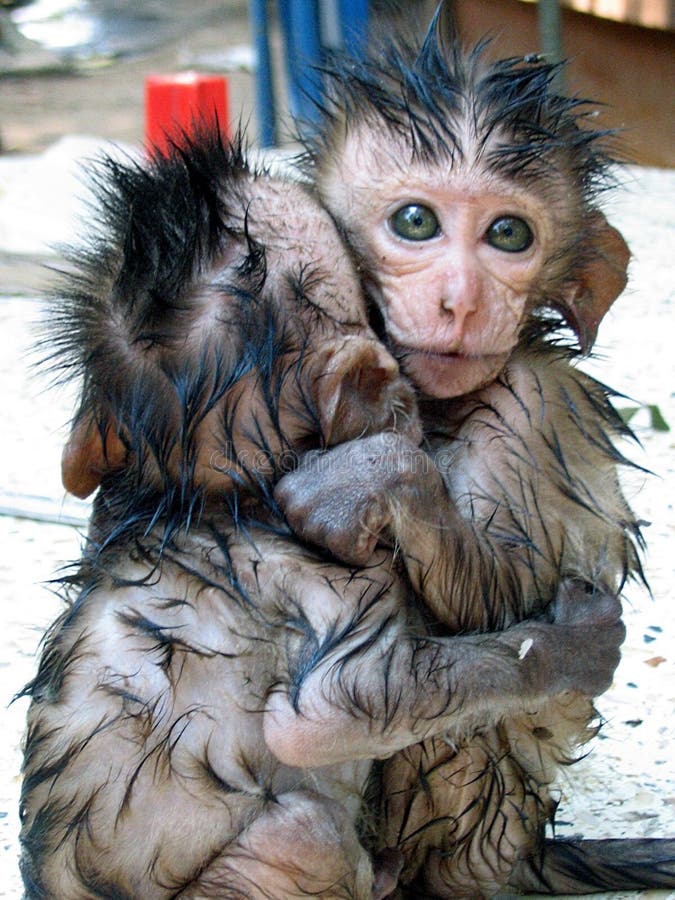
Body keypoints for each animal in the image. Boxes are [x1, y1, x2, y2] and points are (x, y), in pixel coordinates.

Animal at [18, 129, 627, 899]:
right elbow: (332, 711)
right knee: (310, 830)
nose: (403, 395)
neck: (217, 494)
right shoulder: (340, 573)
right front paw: (572, 650)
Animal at [271, 5, 675, 896]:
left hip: (474, 822)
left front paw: (373, 477)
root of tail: (520, 852)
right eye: (415, 222)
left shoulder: (535, 401)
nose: (459, 300)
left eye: (507, 234)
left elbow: (498, 593)